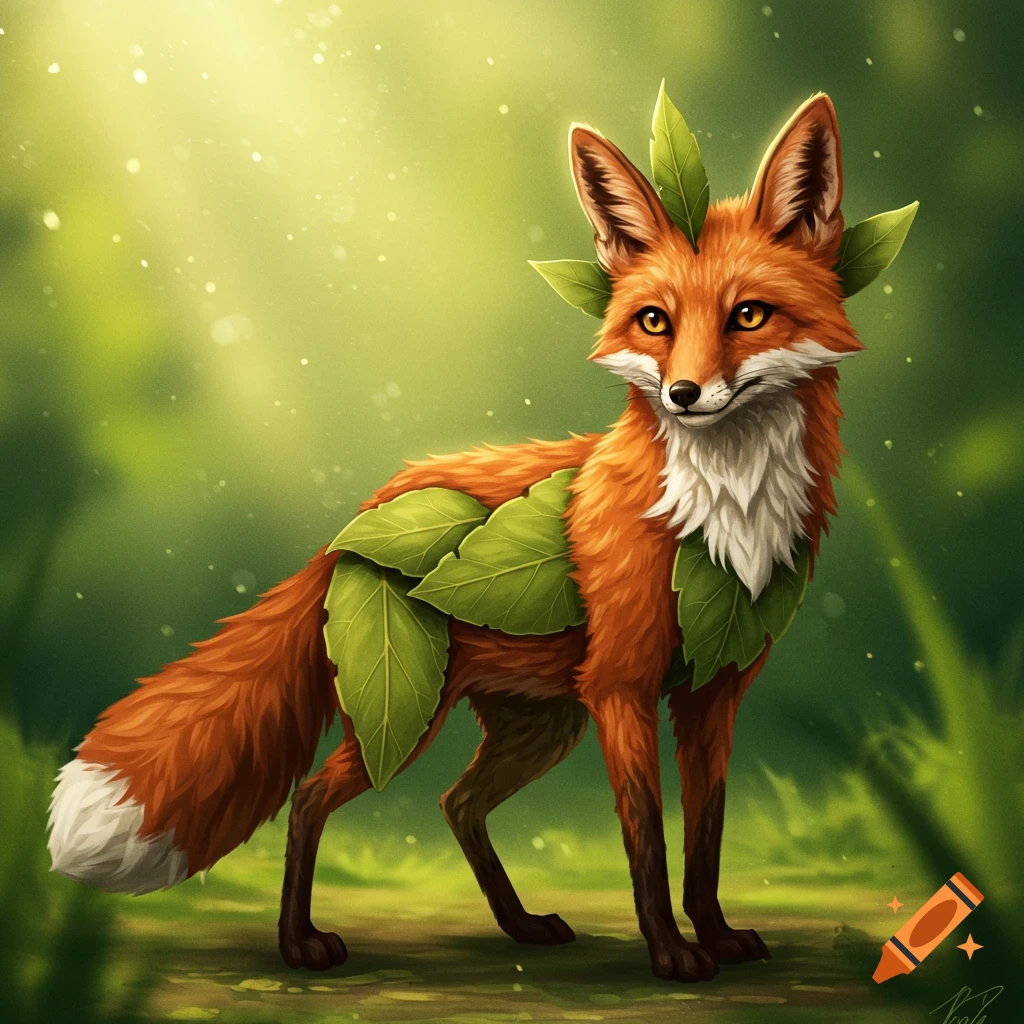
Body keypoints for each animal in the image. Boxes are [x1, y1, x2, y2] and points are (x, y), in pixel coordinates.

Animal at [48, 92, 860, 984]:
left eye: (748, 315)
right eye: (655, 322)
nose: (684, 393)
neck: (724, 511)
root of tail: (363, 515)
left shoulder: (714, 693)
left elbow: (705, 839)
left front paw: (713, 935)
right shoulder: (622, 686)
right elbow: (646, 840)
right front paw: (673, 954)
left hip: (540, 724)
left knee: (455, 803)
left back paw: (518, 925)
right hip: (409, 718)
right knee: (312, 797)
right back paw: (299, 943)